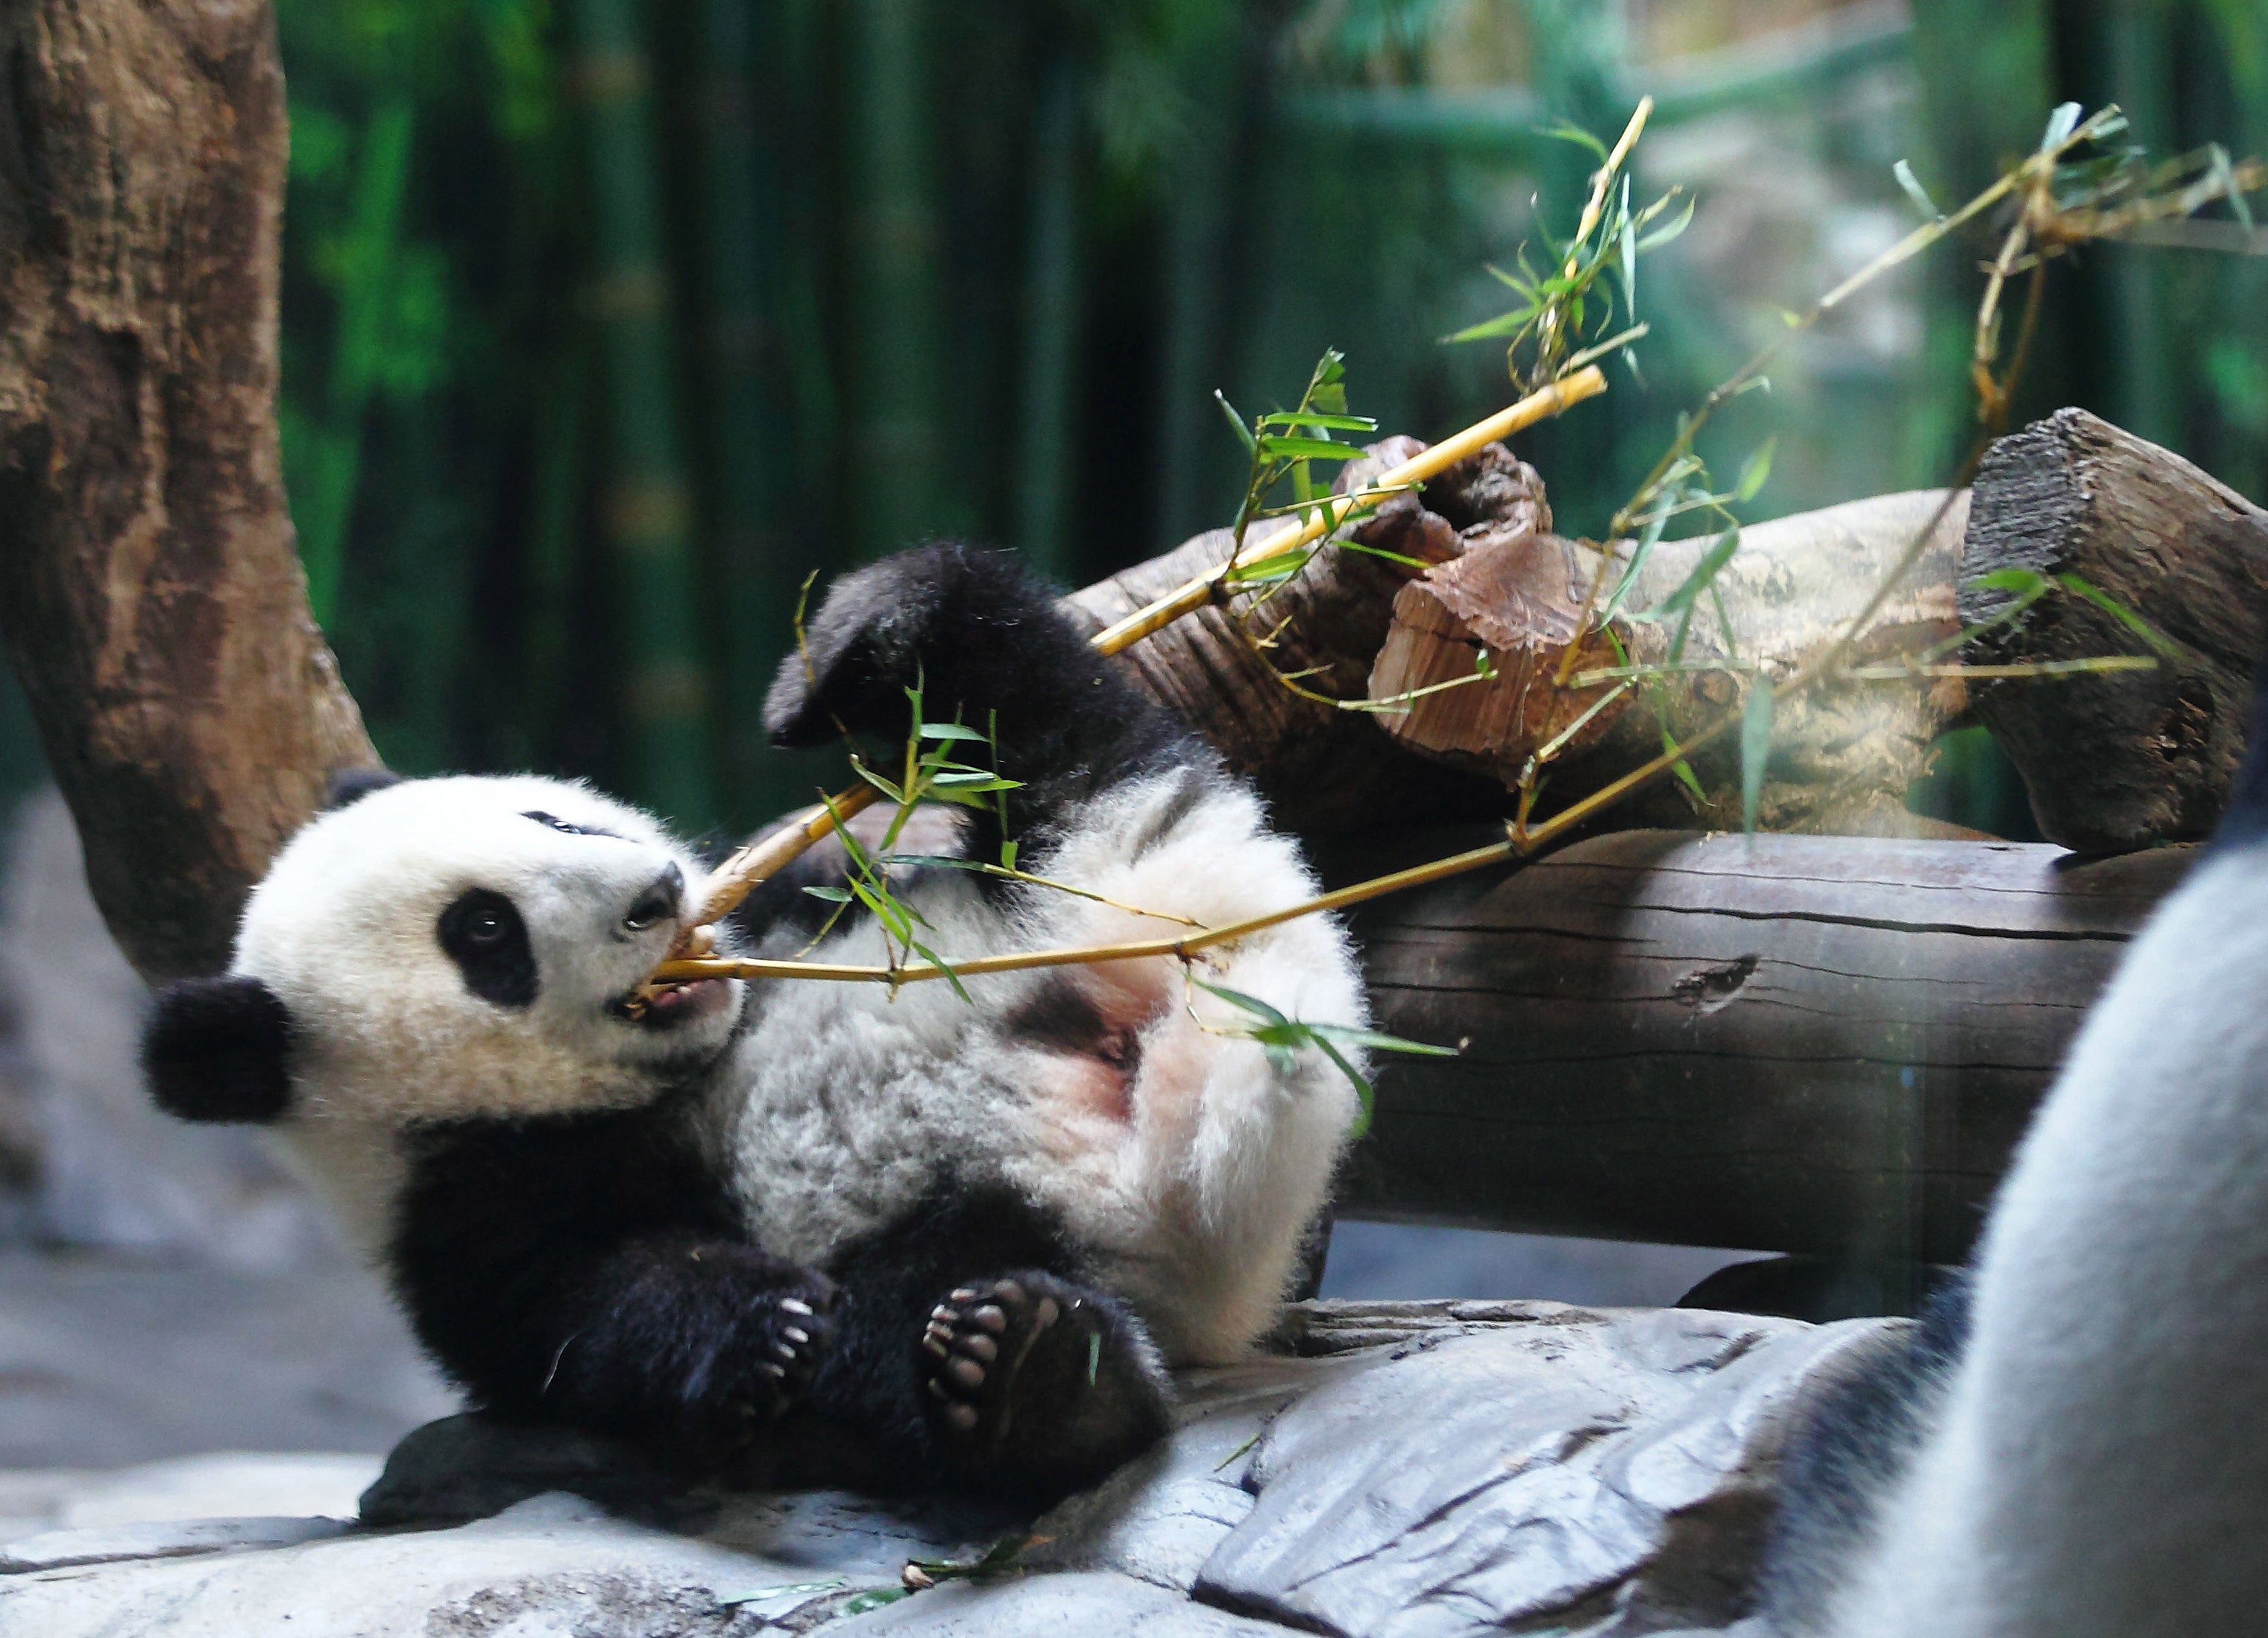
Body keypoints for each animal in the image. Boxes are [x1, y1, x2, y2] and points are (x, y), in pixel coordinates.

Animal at [139, 545, 1366, 1500]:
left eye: (550, 816)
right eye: (483, 933)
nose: (652, 896)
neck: (701, 1055)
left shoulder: (803, 905)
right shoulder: (465, 1199)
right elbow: (593, 1307)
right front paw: (760, 1336)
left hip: (1076, 869)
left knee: (1046, 711)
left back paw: (860, 643)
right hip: (991, 1216)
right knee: (909, 1321)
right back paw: (1039, 1378)